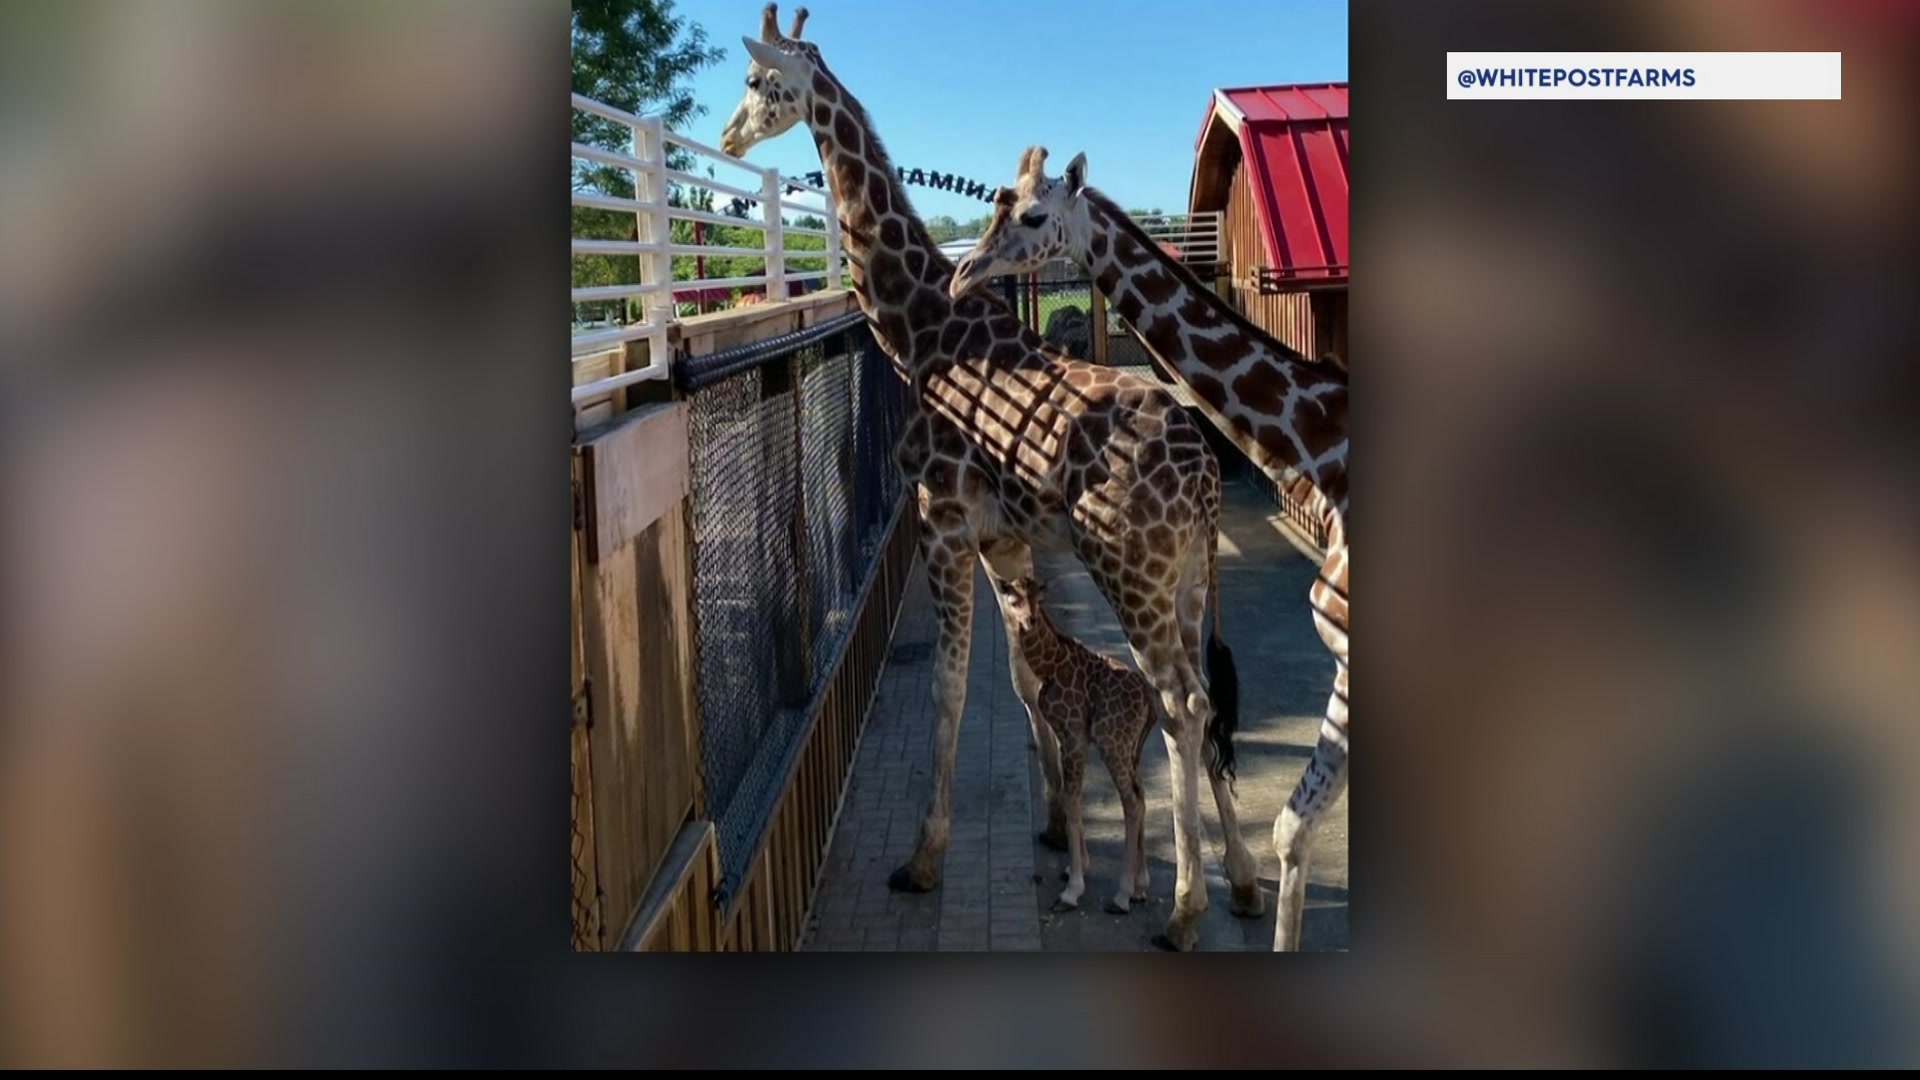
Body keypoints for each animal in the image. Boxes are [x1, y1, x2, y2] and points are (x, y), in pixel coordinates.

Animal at [988, 573, 1180, 917]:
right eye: (1013, 598)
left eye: (1038, 598)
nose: (1029, 620)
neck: (1049, 666)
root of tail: (1149, 702)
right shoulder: (1068, 735)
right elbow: (1071, 793)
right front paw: (1075, 870)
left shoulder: (1074, 733)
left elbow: (1071, 798)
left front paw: (1072, 890)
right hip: (1132, 747)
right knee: (1142, 795)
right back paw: (1140, 886)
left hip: (1111, 741)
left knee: (1132, 801)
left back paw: (1122, 895)